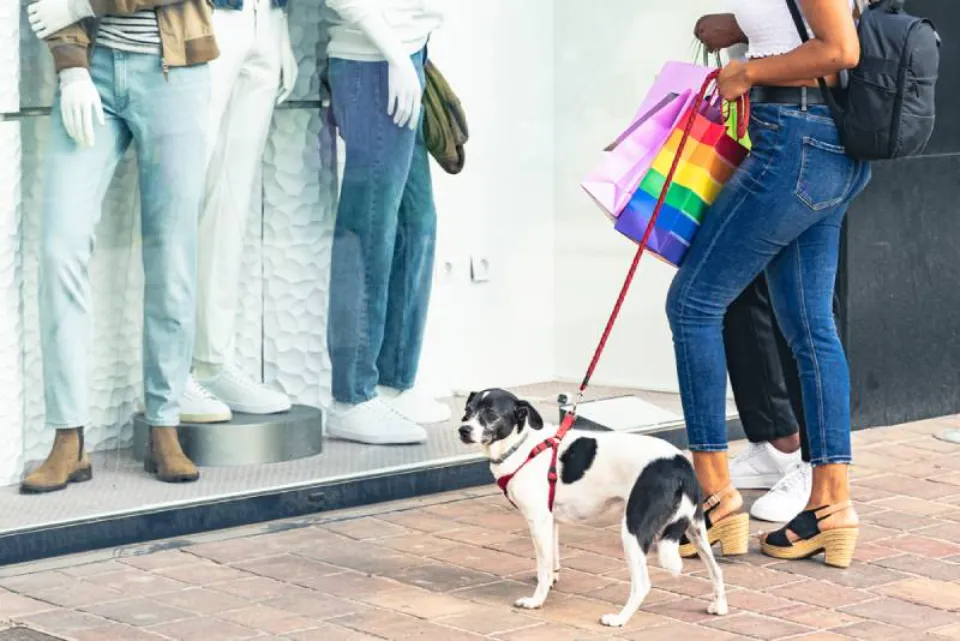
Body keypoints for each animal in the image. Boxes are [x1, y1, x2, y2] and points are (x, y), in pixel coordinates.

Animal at [458, 388, 728, 628]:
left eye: (491, 414)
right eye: (467, 411)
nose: (463, 430)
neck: (522, 445)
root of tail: (680, 464)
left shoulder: (538, 520)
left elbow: (543, 566)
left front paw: (536, 600)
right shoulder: (550, 520)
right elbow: (551, 560)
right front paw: (552, 579)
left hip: (633, 530)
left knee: (642, 584)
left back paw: (619, 619)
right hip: (696, 529)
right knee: (716, 569)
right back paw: (720, 605)